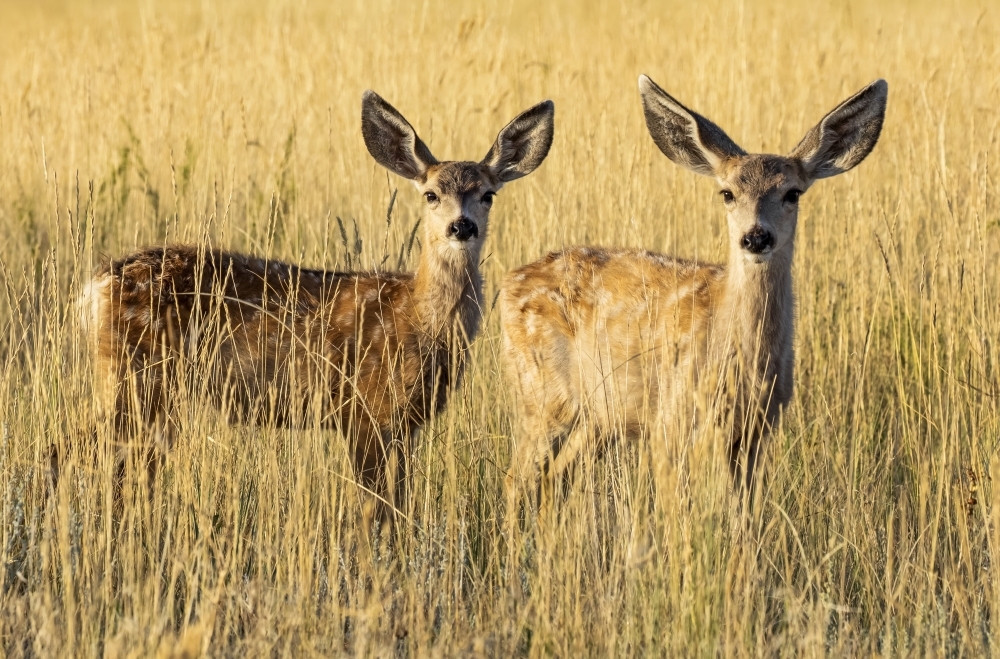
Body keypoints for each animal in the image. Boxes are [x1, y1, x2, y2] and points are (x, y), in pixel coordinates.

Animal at [81, 91, 555, 525]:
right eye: (431, 195)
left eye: (488, 194)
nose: (462, 226)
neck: (417, 318)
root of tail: (95, 286)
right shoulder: (365, 409)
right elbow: (372, 510)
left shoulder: (405, 425)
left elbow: (398, 507)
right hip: (137, 379)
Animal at [501, 76, 887, 523]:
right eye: (727, 193)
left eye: (793, 193)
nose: (756, 237)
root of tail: (508, 282)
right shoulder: (671, 421)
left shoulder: (756, 432)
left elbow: (744, 518)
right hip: (542, 394)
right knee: (516, 479)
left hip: (597, 417)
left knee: (553, 480)